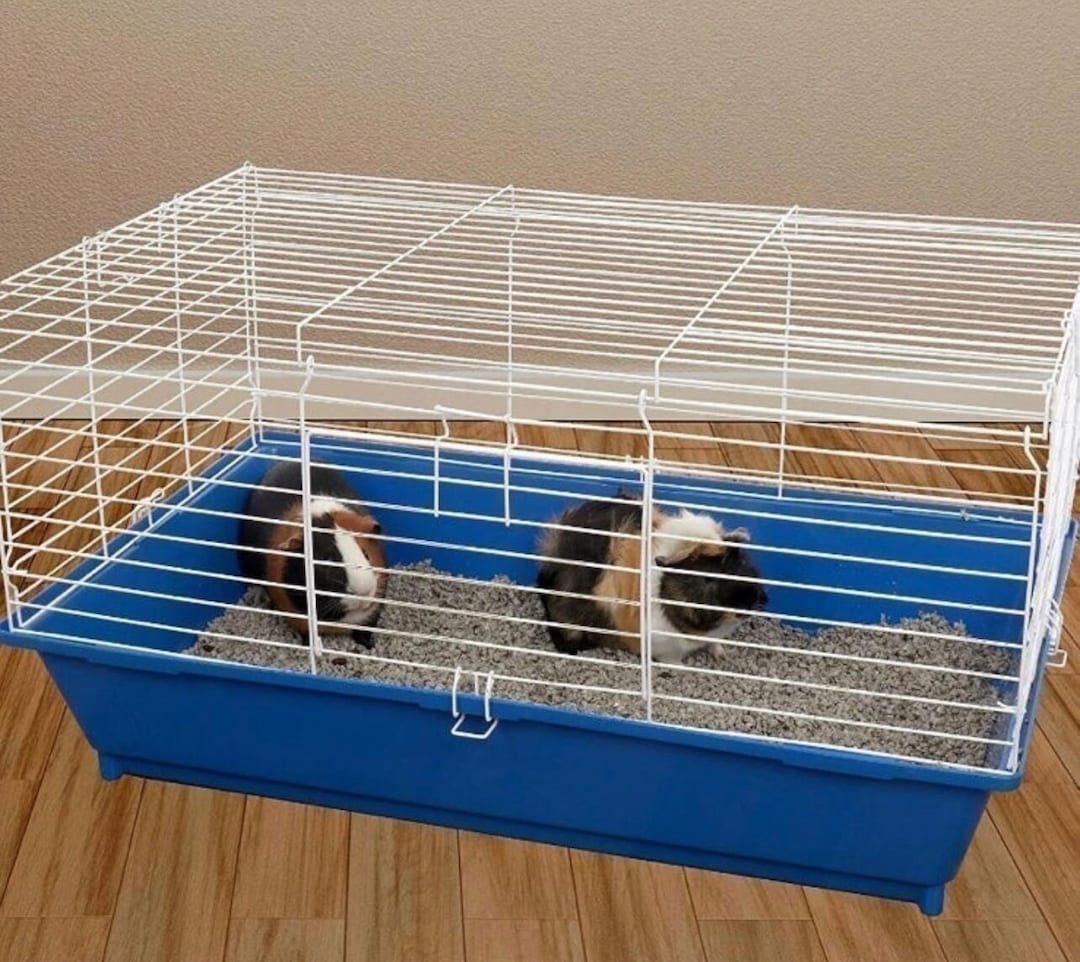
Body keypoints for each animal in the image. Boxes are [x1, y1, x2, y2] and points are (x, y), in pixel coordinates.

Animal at [536, 493, 767, 663]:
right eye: (707, 579)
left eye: (742, 563)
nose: (748, 605)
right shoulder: (666, 647)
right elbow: (674, 660)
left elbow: (715, 643)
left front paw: (725, 655)